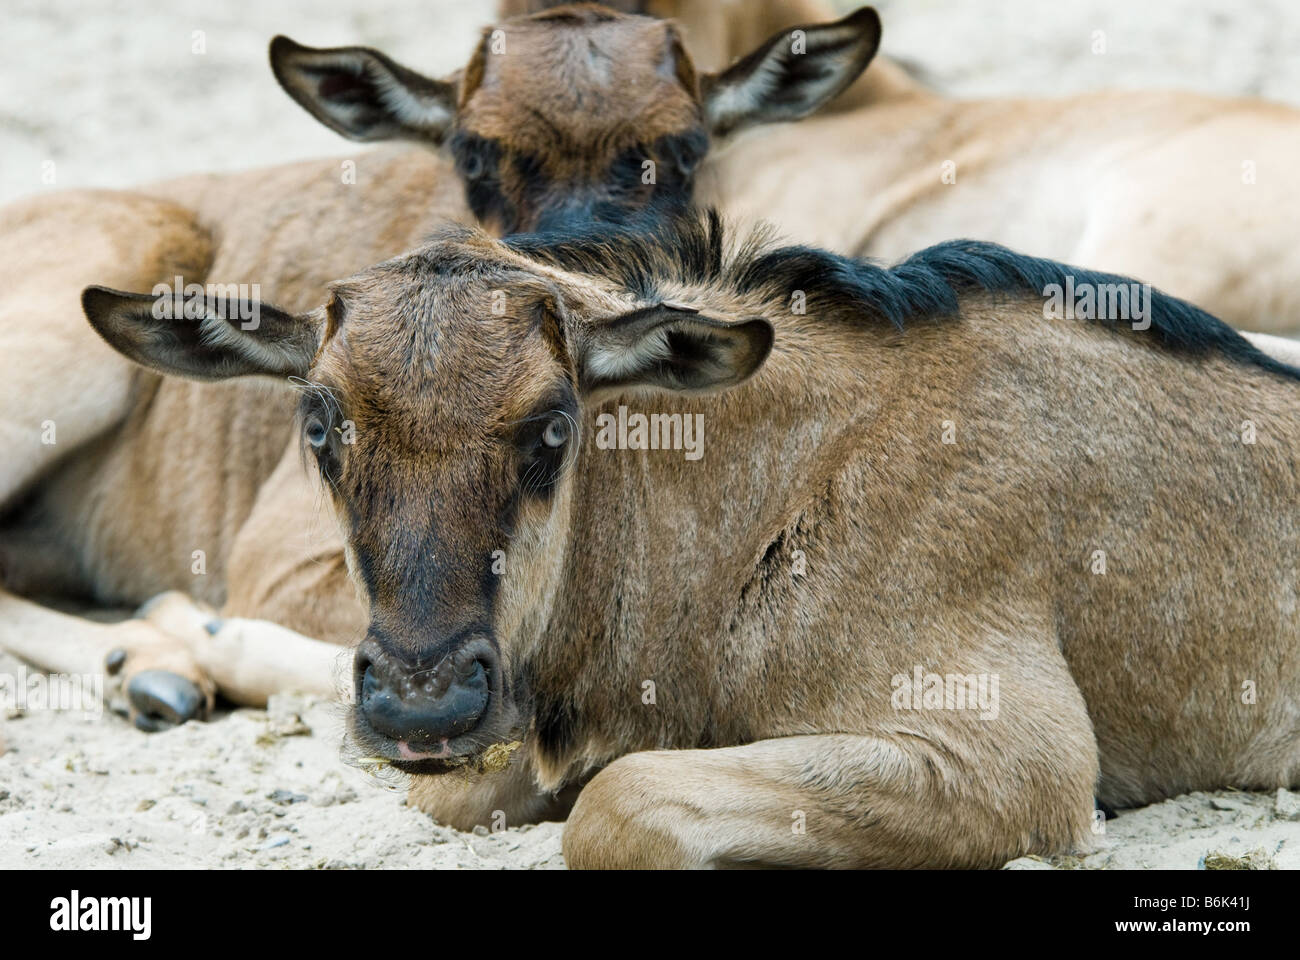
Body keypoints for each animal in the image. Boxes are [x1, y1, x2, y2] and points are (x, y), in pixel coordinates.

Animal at [79, 211, 1300, 866]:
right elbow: (466, 794)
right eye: (319, 421)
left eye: (554, 422)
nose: (422, 702)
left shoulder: (1021, 764)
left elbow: (621, 807)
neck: (770, 498)